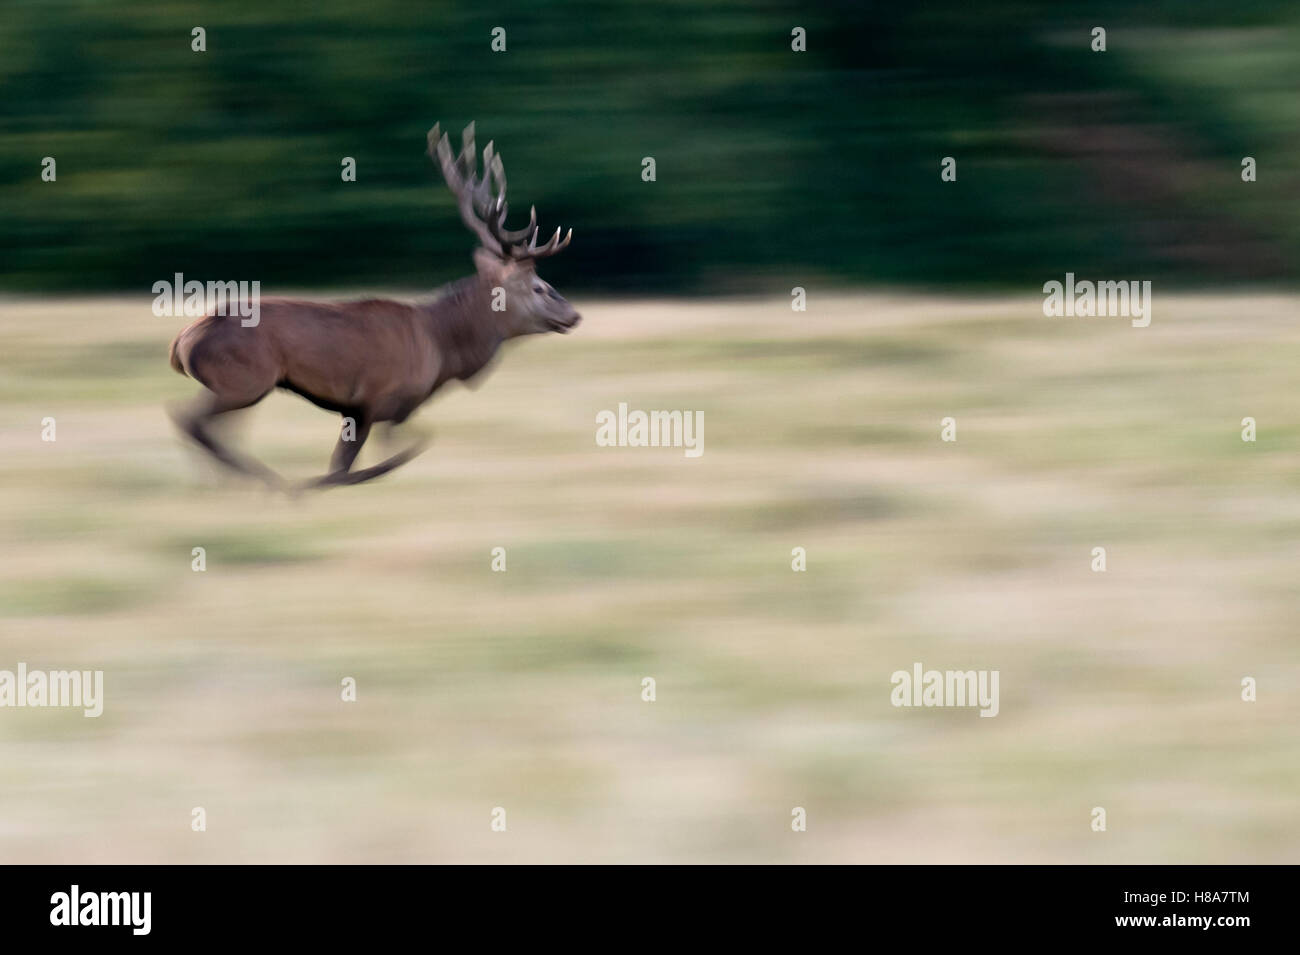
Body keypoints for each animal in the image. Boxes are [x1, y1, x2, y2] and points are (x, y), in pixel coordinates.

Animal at [168, 122, 579, 490]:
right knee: (190, 419)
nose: (574, 315)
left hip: (243, 386)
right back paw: (266, 481)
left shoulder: (367, 409)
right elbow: (358, 461)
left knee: (216, 429)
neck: (442, 349)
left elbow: (347, 462)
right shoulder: (375, 399)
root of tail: (181, 343)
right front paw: (331, 481)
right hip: (244, 378)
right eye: (540, 287)